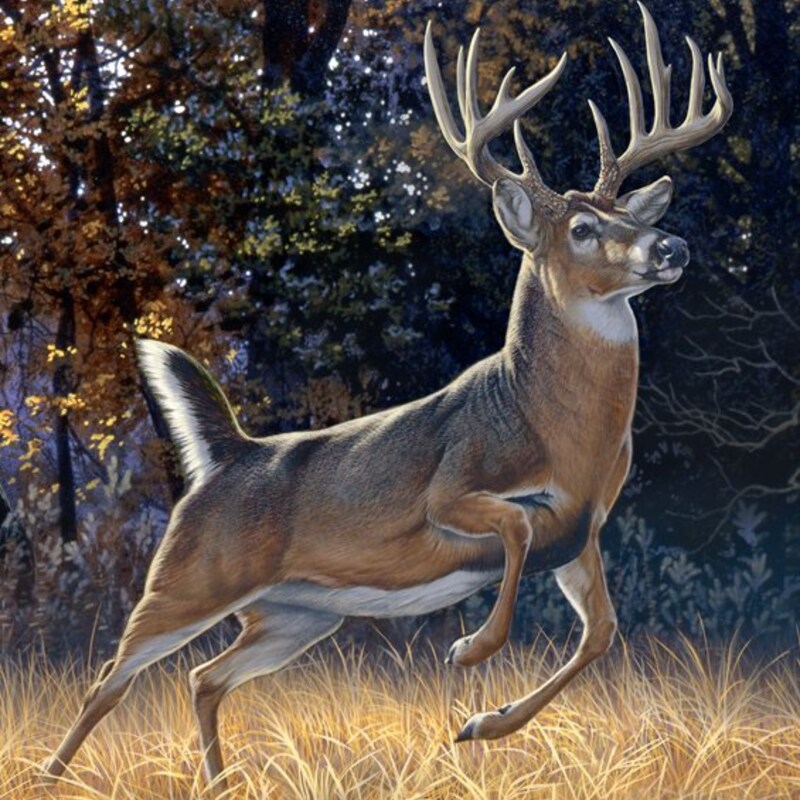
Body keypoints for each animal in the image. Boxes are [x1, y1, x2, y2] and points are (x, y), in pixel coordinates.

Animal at [42, 3, 732, 791]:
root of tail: (226, 456)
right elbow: (514, 527)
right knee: (109, 680)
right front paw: (470, 650)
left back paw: (220, 783)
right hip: (187, 578)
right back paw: (49, 778)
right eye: (583, 228)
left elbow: (602, 634)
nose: (670, 247)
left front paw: (481, 724)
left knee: (203, 678)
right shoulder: (452, 492)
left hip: (296, 616)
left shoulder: (581, 533)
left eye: (632, 216)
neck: (554, 430)